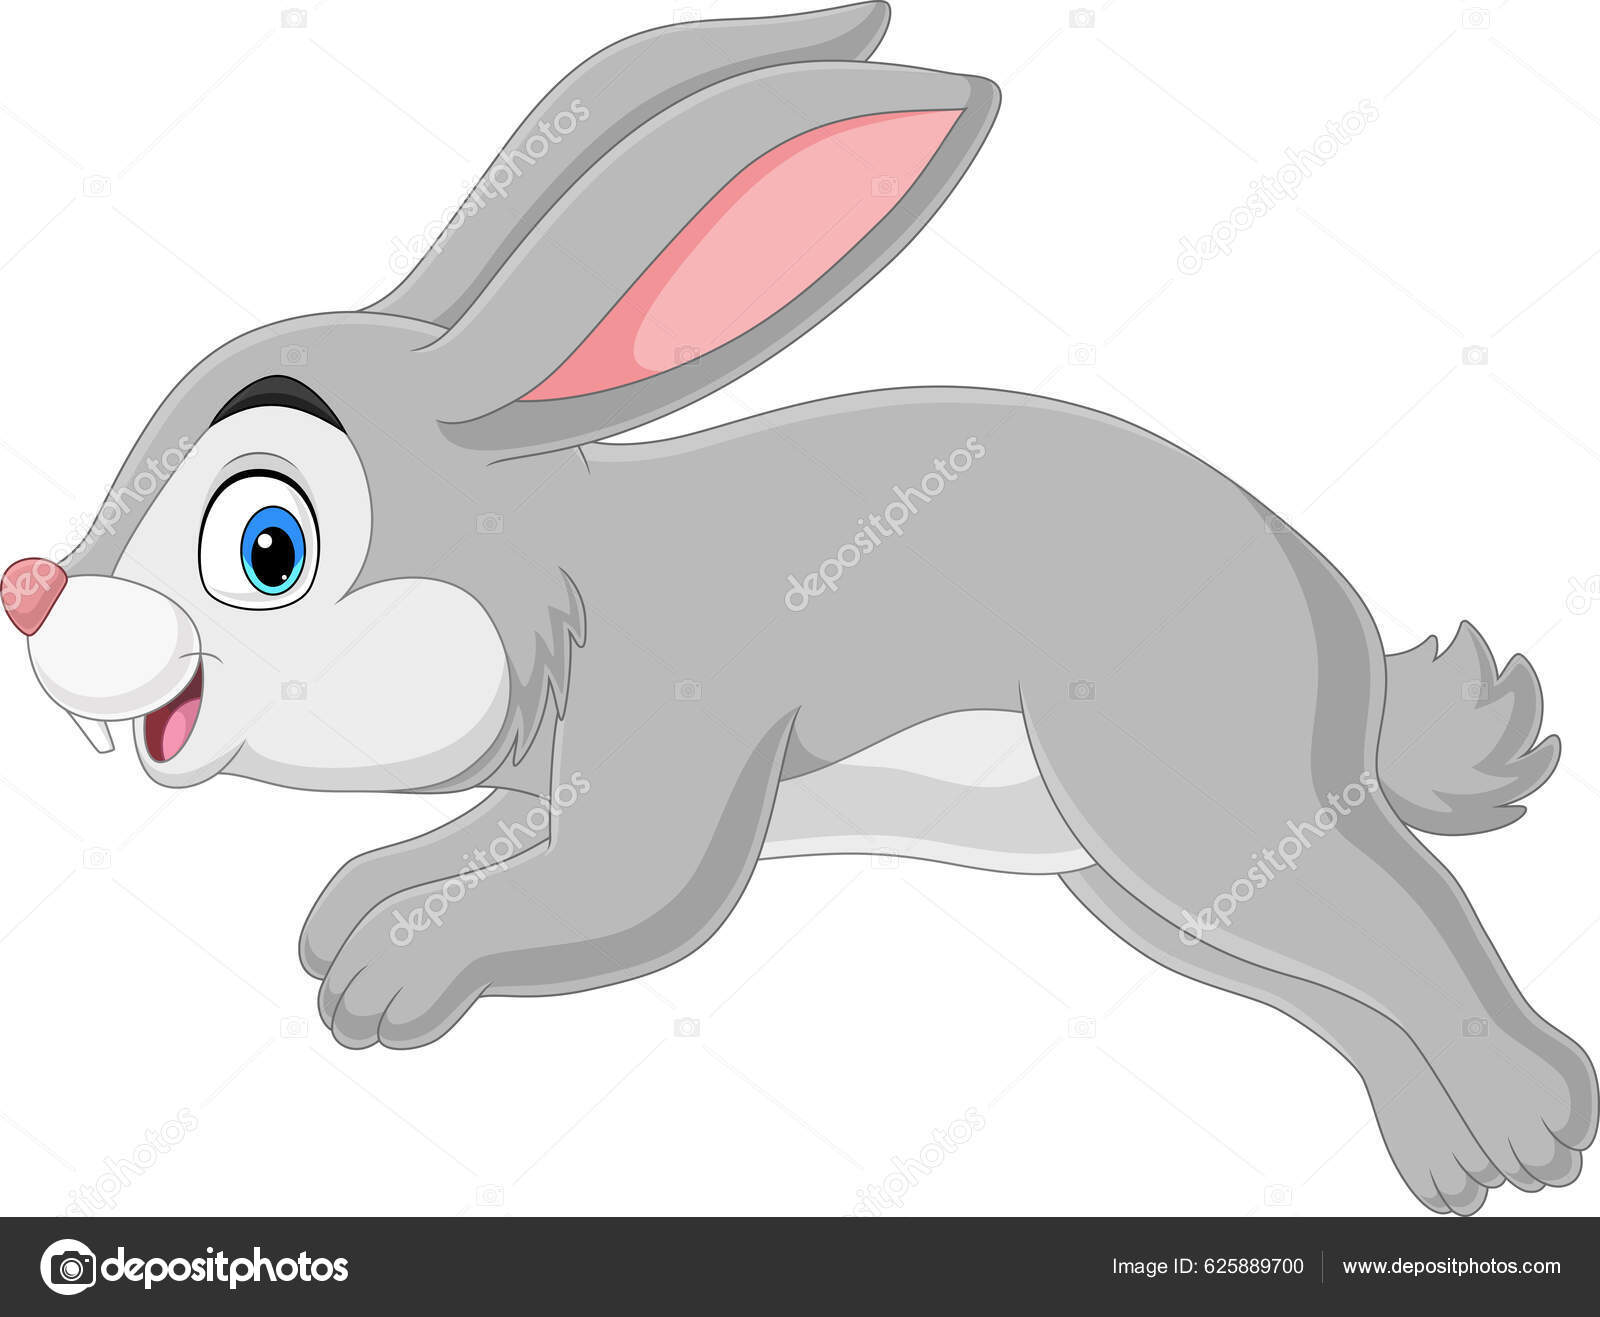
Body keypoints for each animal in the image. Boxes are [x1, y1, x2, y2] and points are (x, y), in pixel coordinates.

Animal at [3, 2, 1593, 1215]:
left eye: (268, 546)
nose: (31, 593)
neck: (560, 570)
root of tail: (1333, 614)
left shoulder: (666, 750)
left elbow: (603, 890)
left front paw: (392, 972)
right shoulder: (551, 774)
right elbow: (485, 839)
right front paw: (355, 906)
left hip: (1185, 793)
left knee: (1396, 915)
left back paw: (1528, 1121)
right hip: (1136, 872)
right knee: (1324, 969)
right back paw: (1444, 1158)